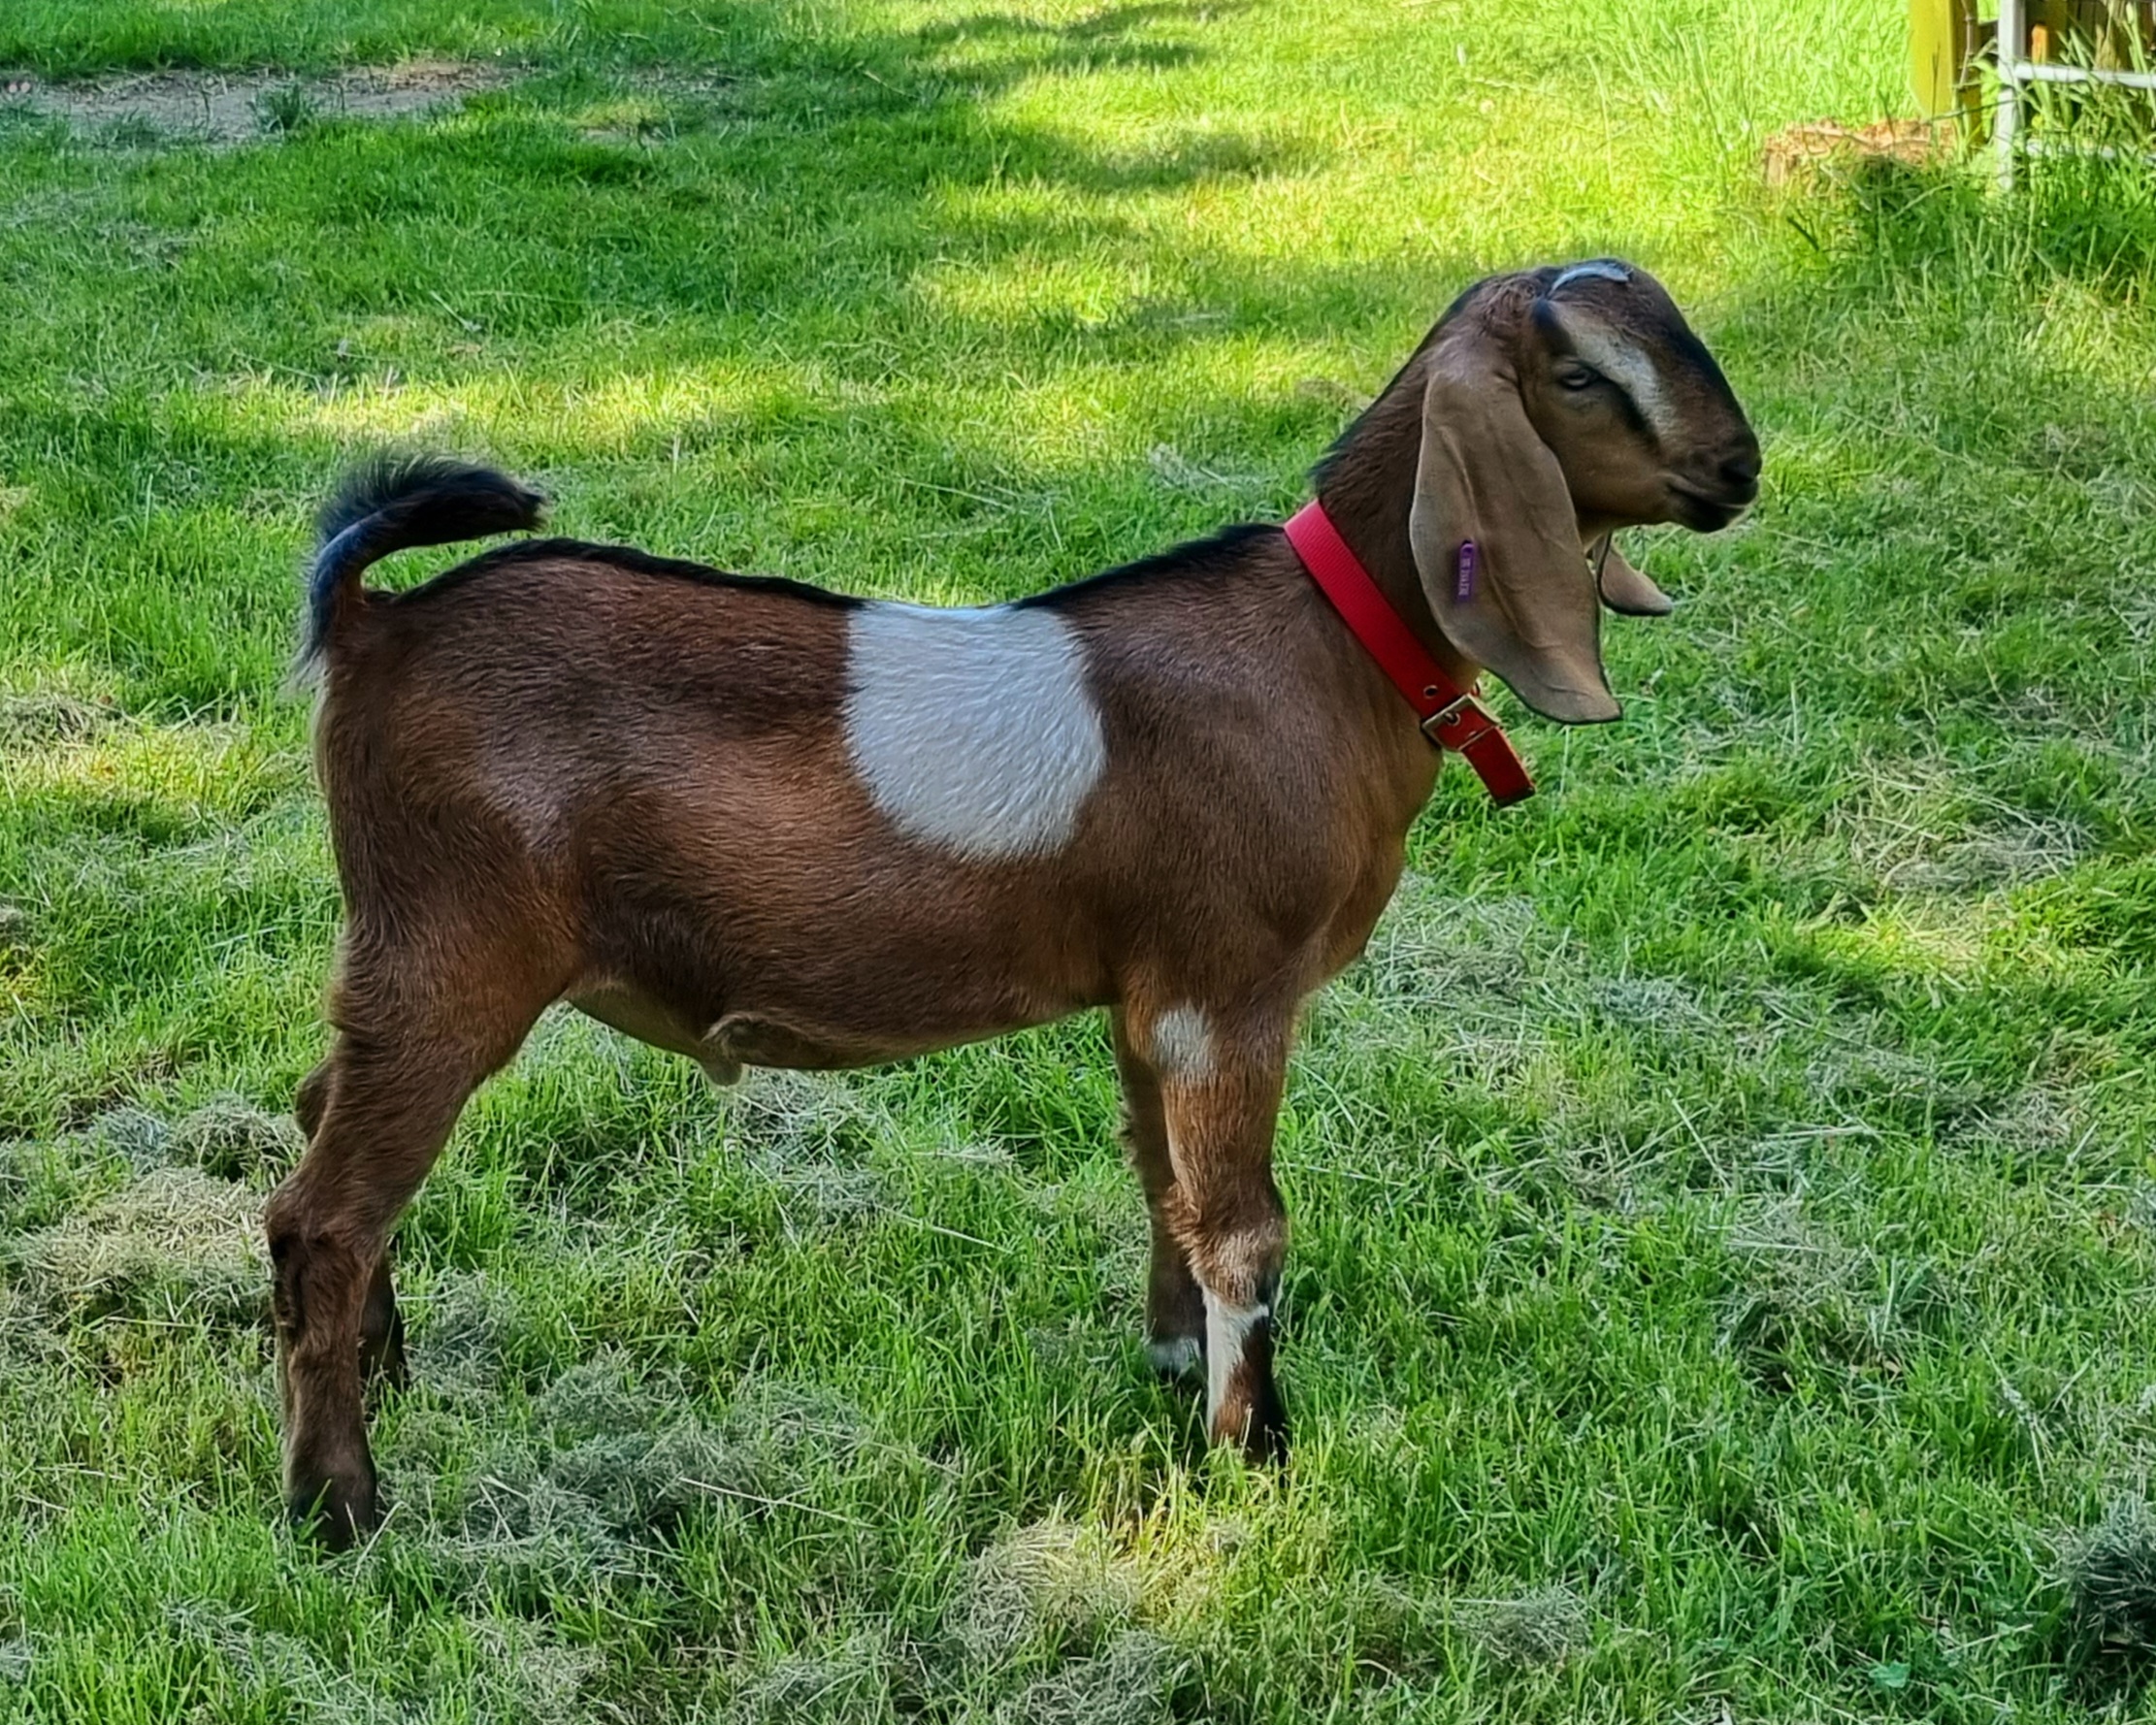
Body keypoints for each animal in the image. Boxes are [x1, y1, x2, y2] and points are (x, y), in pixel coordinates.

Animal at [267, 260, 1759, 1545]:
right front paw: (1254, 1448)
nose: (1736, 470)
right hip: (456, 949)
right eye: (1577, 374)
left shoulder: (1149, 995)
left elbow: (1163, 1181)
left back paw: (387, 1372)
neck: (1331, 647)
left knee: (319, 1115)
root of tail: (374, 624)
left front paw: (1173, 1366)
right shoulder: (1229, 986)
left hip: (399, 952)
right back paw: (338, 1502)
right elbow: (1243, 1225)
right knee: (320, 1212)